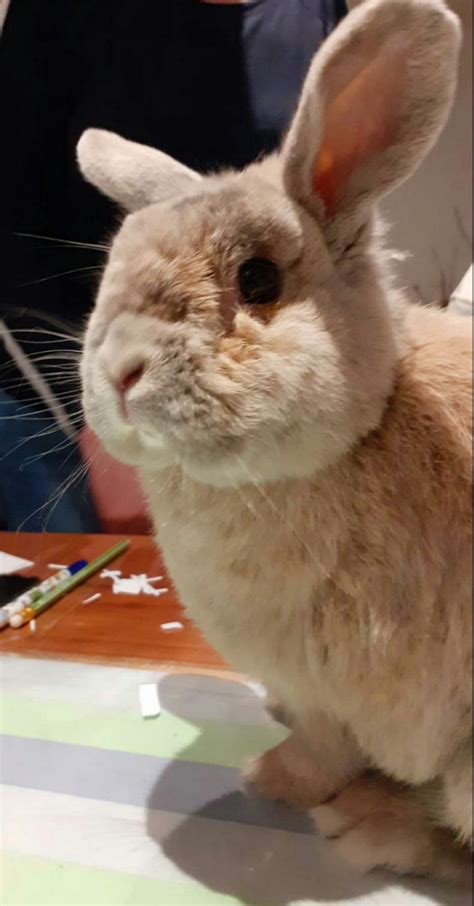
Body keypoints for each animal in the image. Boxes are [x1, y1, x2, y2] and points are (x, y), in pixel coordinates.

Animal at [78, 0, 472, 884]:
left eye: (257, 279)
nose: (118, 370)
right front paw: (272, 750)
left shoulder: (343, 691)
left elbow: (325, 751)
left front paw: (272, 780)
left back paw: (373, 828)